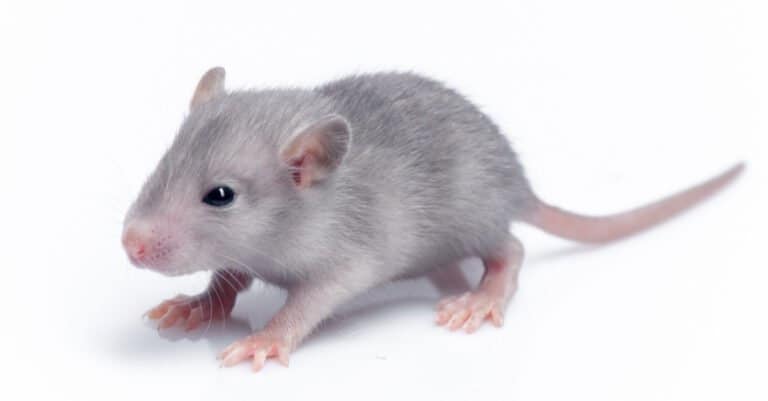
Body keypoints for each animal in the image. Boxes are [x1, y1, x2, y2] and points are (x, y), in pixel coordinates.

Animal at [122, 67, 743, 372]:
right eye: (164, 162)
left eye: (220, 195)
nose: (131, 245)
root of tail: (519, 186)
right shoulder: (247, 252)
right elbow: (229, 278)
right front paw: (198, 305)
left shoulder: (347, 250)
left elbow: (318, 296)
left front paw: (267, 337)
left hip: (476, 216)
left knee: (511, 249)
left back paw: (481, 296)